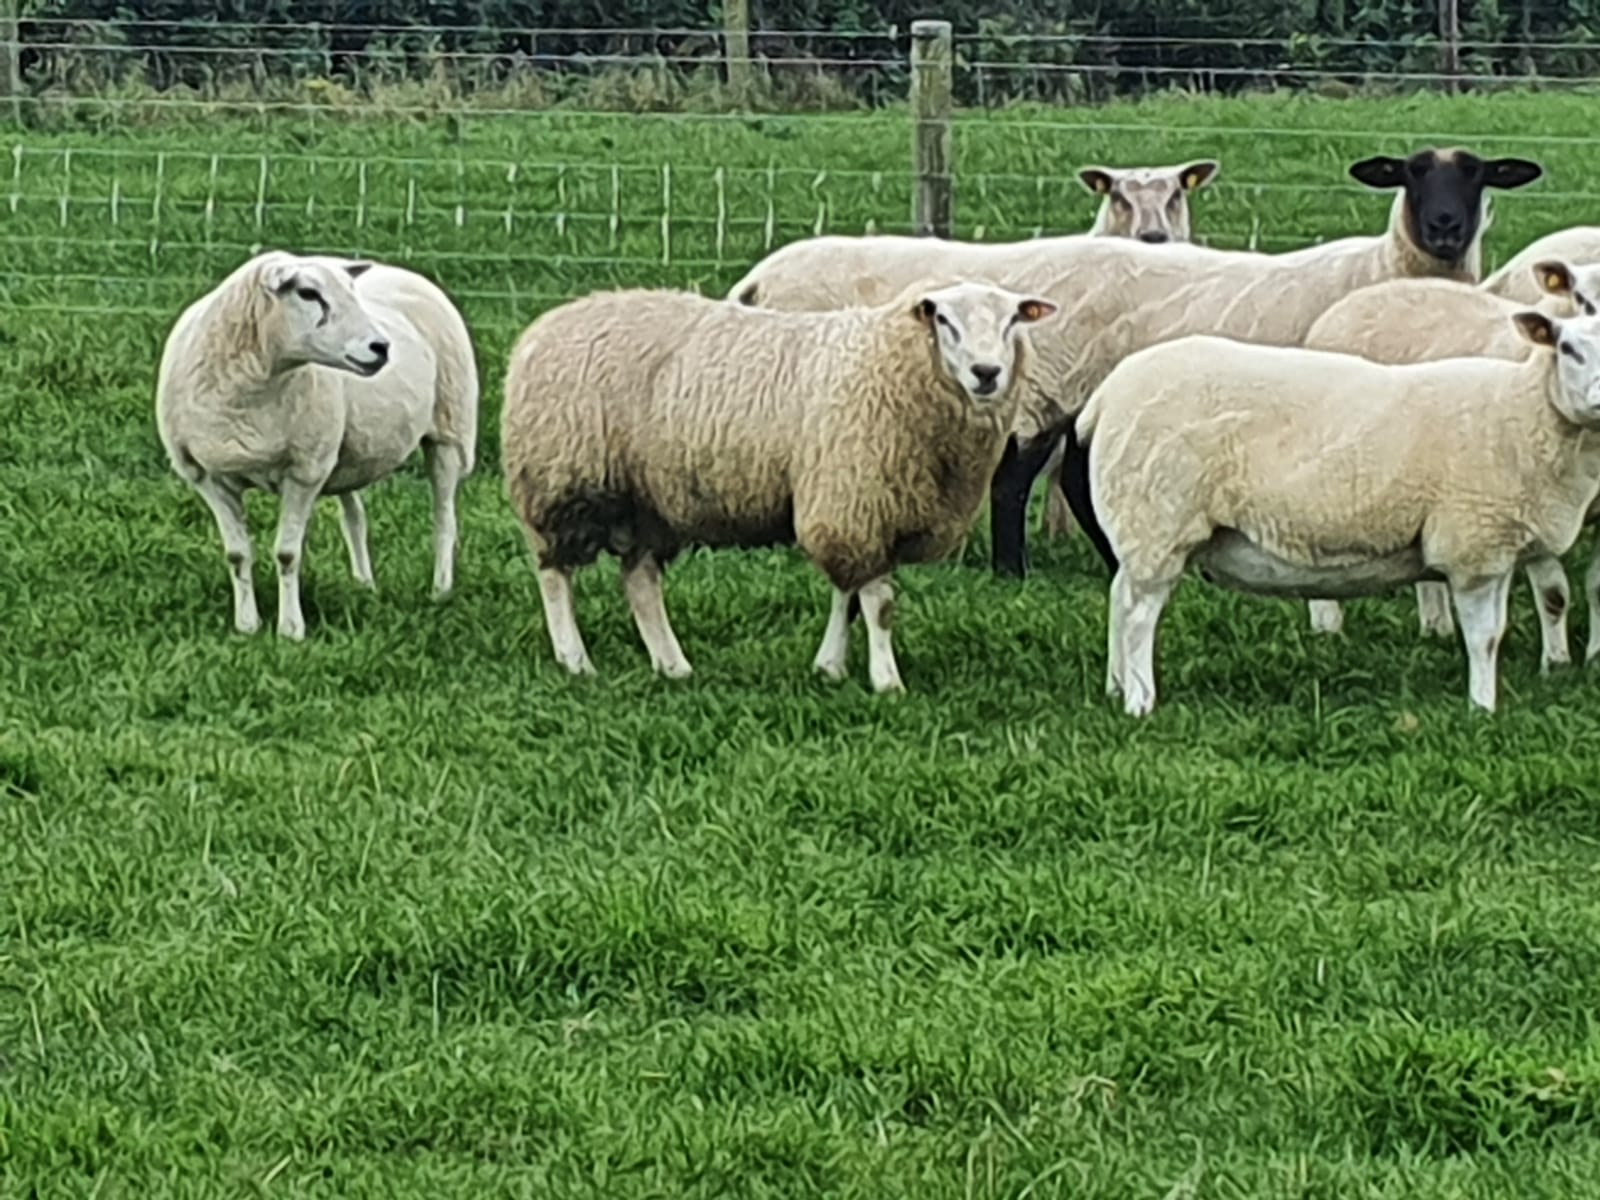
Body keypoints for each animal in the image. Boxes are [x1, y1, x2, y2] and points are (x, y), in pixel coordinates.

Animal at [155, 250, 479, 640]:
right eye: (308, 293)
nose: (381, 347)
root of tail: (399, 270)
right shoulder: (207, 476)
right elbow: (237, 555)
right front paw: (247, 625)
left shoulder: (304, 471)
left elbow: (287, 555)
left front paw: (290, 629)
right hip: (347, 450)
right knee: (355, 517)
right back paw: (363, 584)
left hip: (450, 430)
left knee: (445, 518)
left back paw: (440, 589)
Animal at [501, 280, 1058, 692]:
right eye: (944, 321)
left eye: (1012, 321)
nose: (987, 372)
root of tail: (543, 328)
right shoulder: (854, 500)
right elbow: (877, 605)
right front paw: (886, 681)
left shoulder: (867, 508)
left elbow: (848, 598)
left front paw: (830, 668)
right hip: (563, 482)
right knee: (555, 574)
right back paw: (575, 660)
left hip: (646, 501)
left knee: (639, 580)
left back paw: (672, 665)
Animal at [728, 148, 1544, 578]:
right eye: (1412, 174)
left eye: (1477, 176)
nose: (1446, 226)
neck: (1383, 269)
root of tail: (756, 278)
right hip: (1047, 393)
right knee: (1014, 482)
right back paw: (1013, 572)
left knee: (1071, 485)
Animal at [1075, 310, 1600, 717]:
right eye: (1567, 348)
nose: (1599, 398)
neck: (1524, 409)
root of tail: (1106, 395)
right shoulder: (1473, 543)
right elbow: (1484, 637)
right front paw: (1482, 709)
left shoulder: (1498, 547)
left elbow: (1503, 628)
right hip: (1158, 519)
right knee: (1139, 616)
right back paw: (1140, 702)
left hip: (1139, 528)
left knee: (1120, 598)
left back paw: (1116, 687)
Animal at [1300, 259, 1600, 663]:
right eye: (1581, 298)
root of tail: (1356, 297)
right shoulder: (1529, 498)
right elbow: (1554, 593)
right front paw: (1557, 663)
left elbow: (1596, 586)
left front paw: (1594, 656)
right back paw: (1327, 628)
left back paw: (1436, 628)